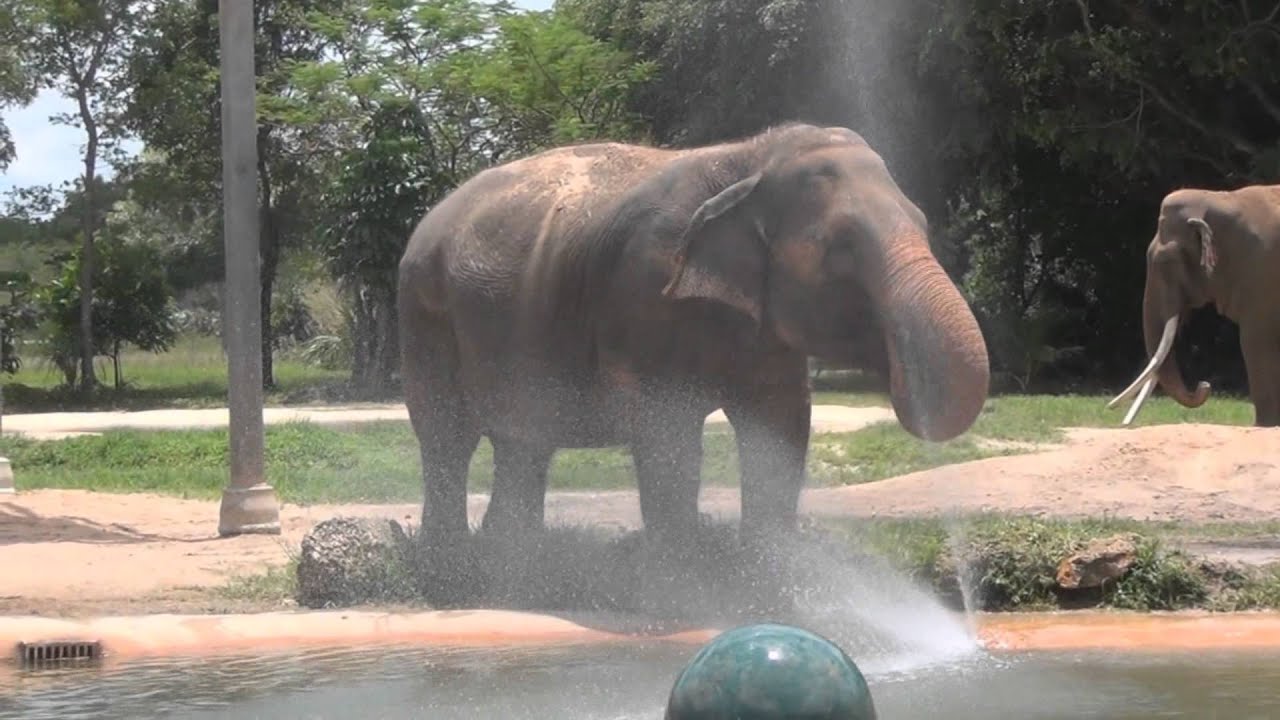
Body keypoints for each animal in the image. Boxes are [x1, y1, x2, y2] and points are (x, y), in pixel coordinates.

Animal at [396, 122, 991, 546]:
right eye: (840, 248)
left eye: (922, 224)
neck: (751, 159)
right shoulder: (644, 289)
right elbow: (667, 432)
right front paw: (683, 575)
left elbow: (781, 421)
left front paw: (770, 570)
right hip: (425, 312)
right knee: (447, 436)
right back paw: (451, 559)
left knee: (523, 441)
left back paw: (512, 554)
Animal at [1110, 184, 1280, 426]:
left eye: (1166, 261)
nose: (1204, 384)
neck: (1221, 197)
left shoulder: (1262, 272)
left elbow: (1255, 342)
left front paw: (1264, 427)